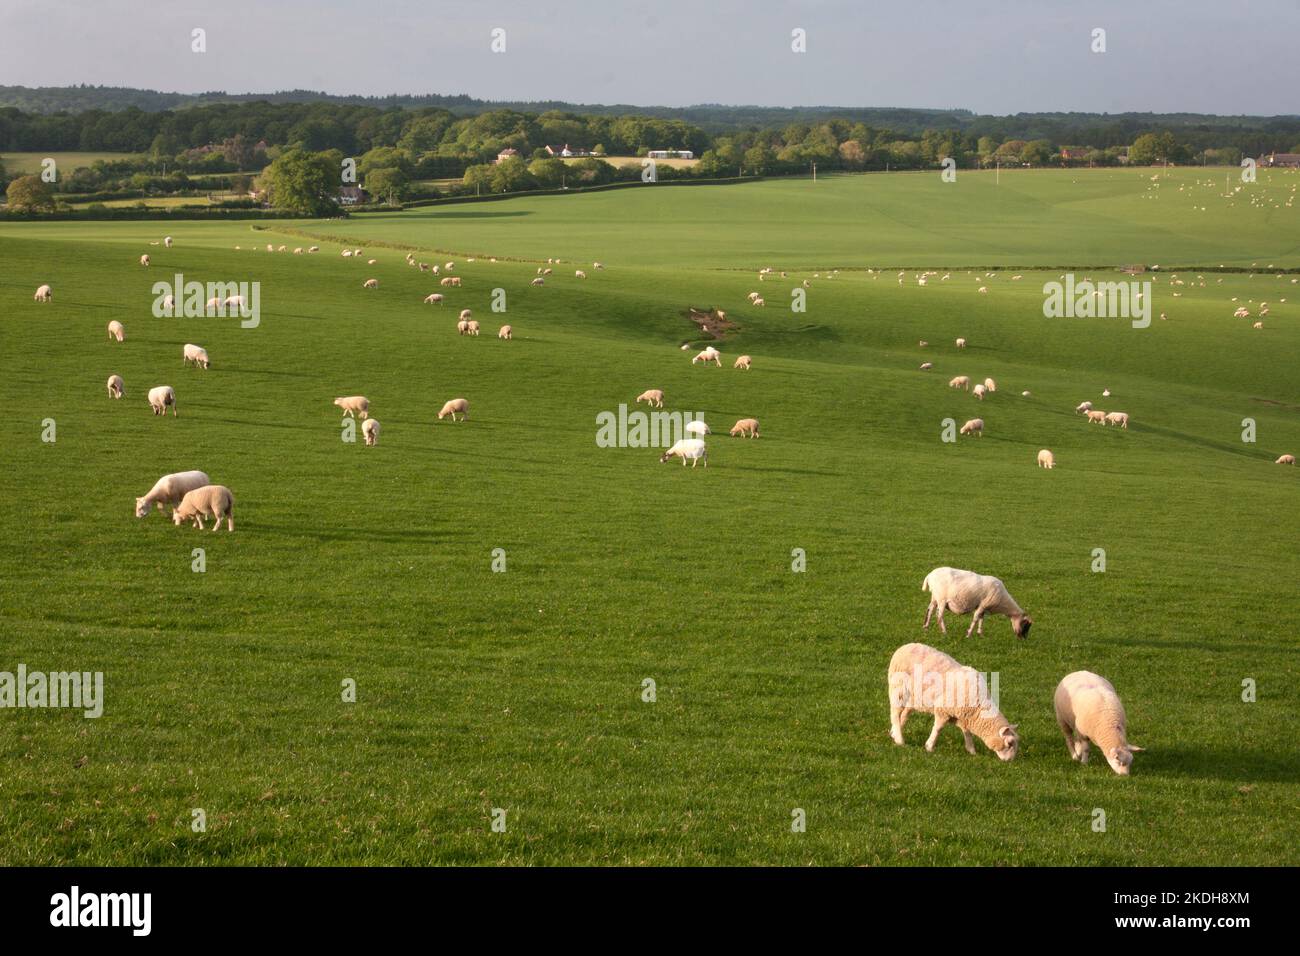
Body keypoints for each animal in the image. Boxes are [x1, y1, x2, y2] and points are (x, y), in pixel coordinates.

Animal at [887, 643, 1020, 760]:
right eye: (1010, 743)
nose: (1010, 761)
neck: (978, 707)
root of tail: (904, 647)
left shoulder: (962, 716)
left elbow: (967, 732)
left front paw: (972, 751)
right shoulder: (943, 710)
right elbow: (938, 728)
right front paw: (929, 746)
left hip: (915, 696)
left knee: (905, 713)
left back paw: (894, 733)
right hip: (899, 689)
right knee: (895, 713)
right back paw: (899, 740)